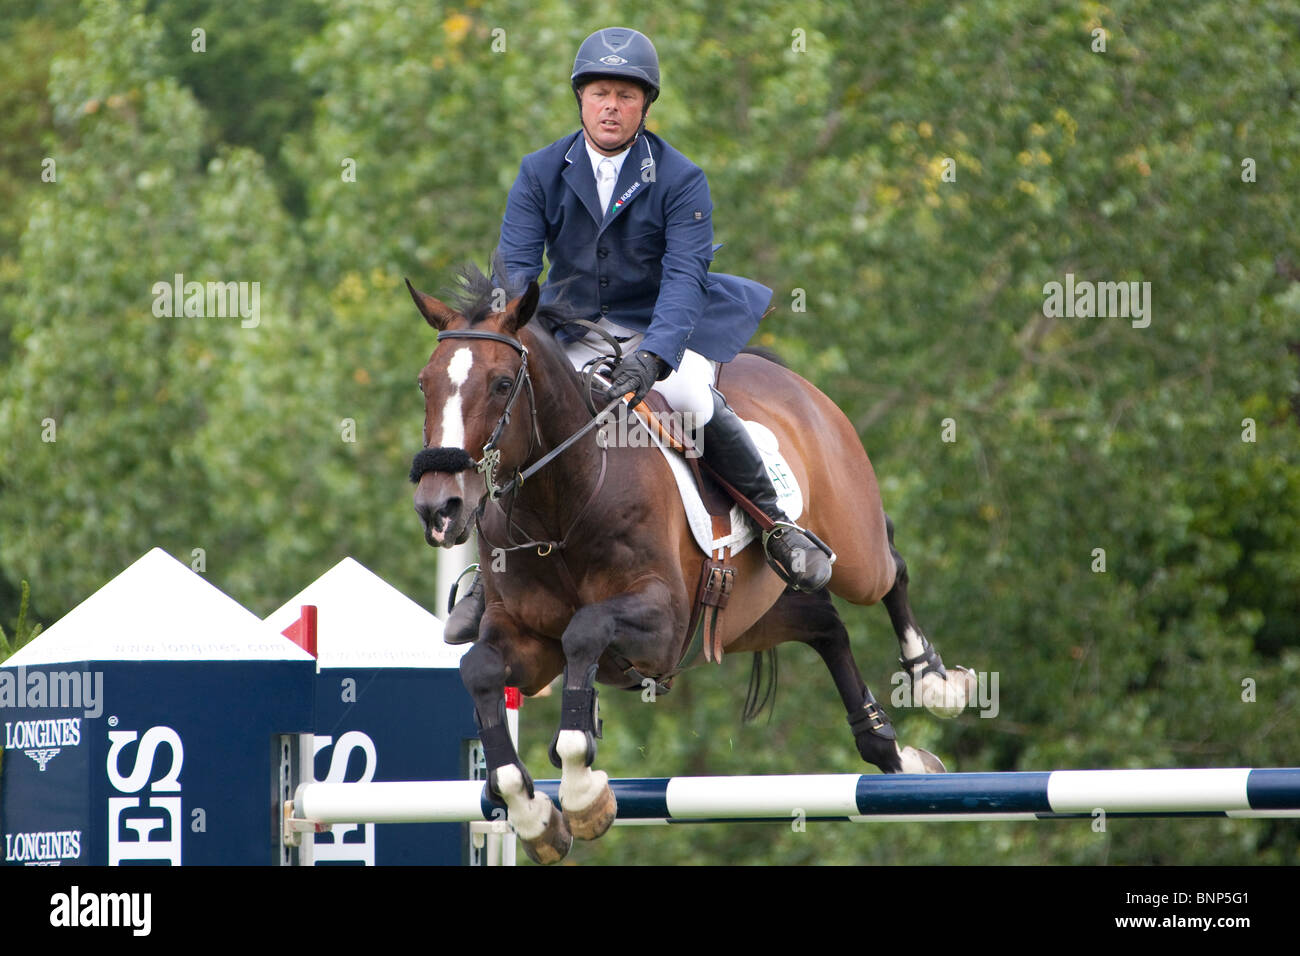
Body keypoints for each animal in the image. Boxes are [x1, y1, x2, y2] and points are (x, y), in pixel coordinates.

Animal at [407, 262, 975, 864]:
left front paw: (583, 792)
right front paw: (534, 814)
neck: (558, 511)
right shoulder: (528, 641)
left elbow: (585, 631)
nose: (439, 509)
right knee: (826, 626)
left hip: (853, 552)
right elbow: (480, 669)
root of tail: (783, 377)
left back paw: (935, 683)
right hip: (749, 616)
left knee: (889, 566)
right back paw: (894, 753)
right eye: (425, 384)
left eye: (500, 384)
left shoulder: (661, 623)